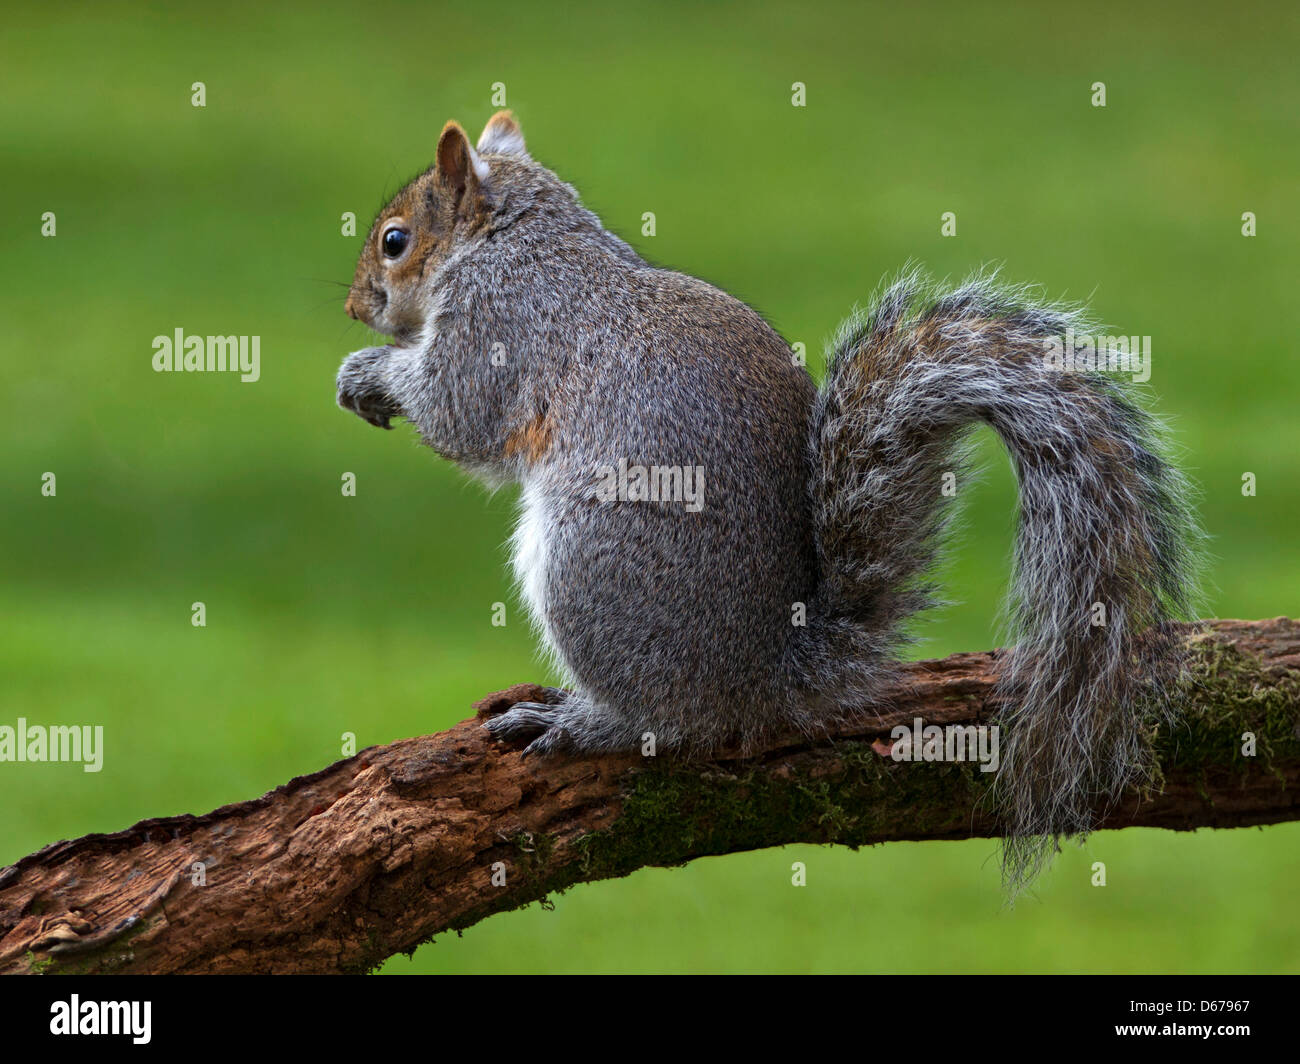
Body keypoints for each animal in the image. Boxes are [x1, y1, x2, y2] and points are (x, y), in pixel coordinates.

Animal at [337, 110, 1202, 888]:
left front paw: (369, 372)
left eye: (395, 241)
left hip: (588, 568)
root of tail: (766, 678)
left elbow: (459, 415)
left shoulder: (498, 324)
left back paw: (583, 720)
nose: (353, 307)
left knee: (666, 724)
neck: (516, 238)